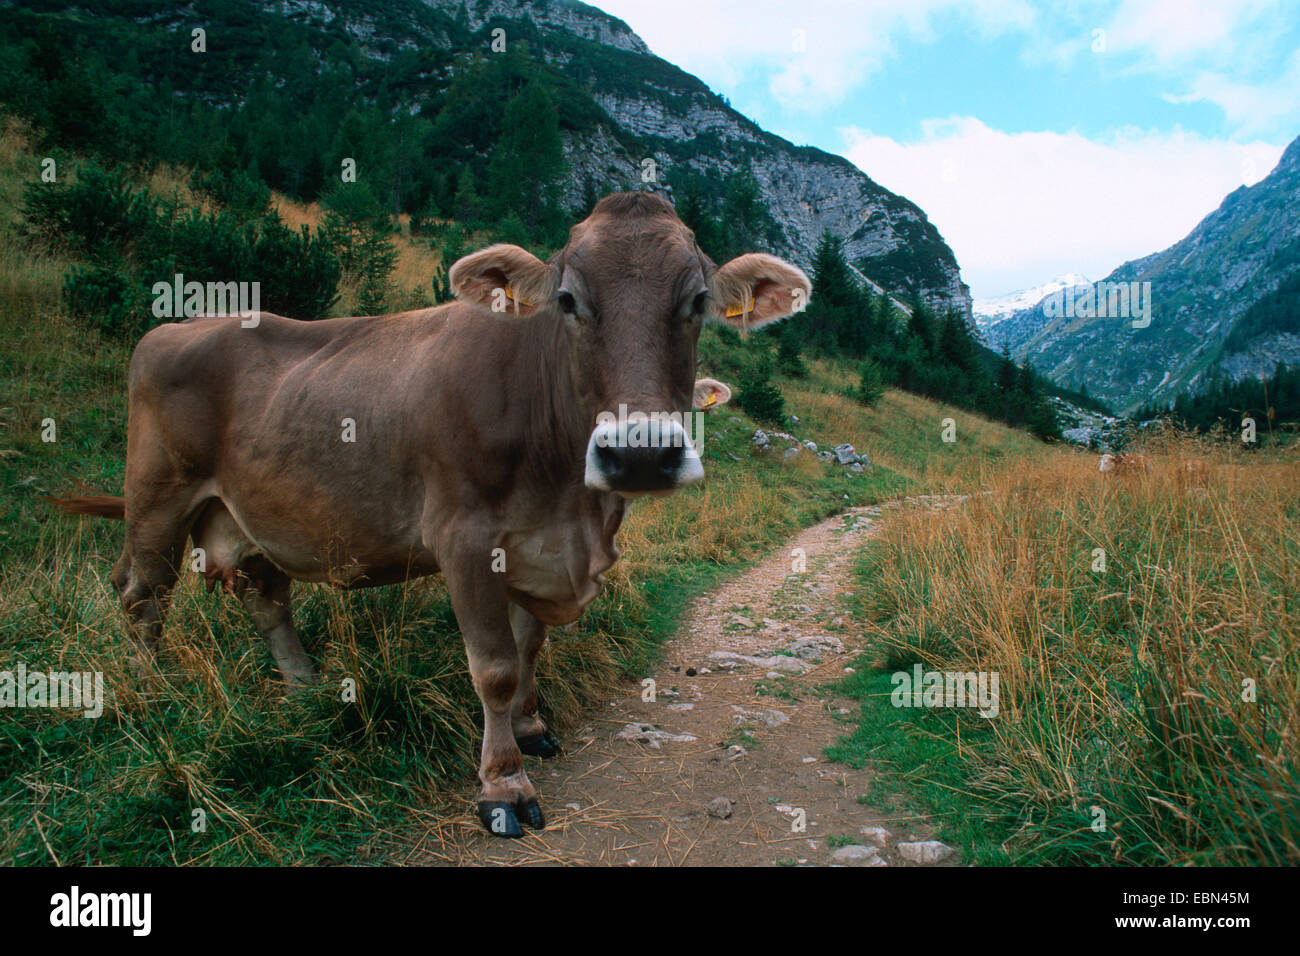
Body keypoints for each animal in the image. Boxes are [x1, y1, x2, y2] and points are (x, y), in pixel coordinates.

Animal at [52, 191, 810, 838]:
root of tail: (175, 327)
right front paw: (503, 787)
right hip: (158, 497)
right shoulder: (465, 538)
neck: (574, 507)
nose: (642, 455)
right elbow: (494, 666)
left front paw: (531, 728)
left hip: (257, 514)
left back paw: (307, 690)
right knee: (143, 594)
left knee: (265, 597)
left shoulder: (540, 547)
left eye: (697, 301)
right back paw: (150, 692)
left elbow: (529, 646)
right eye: (568, 299)